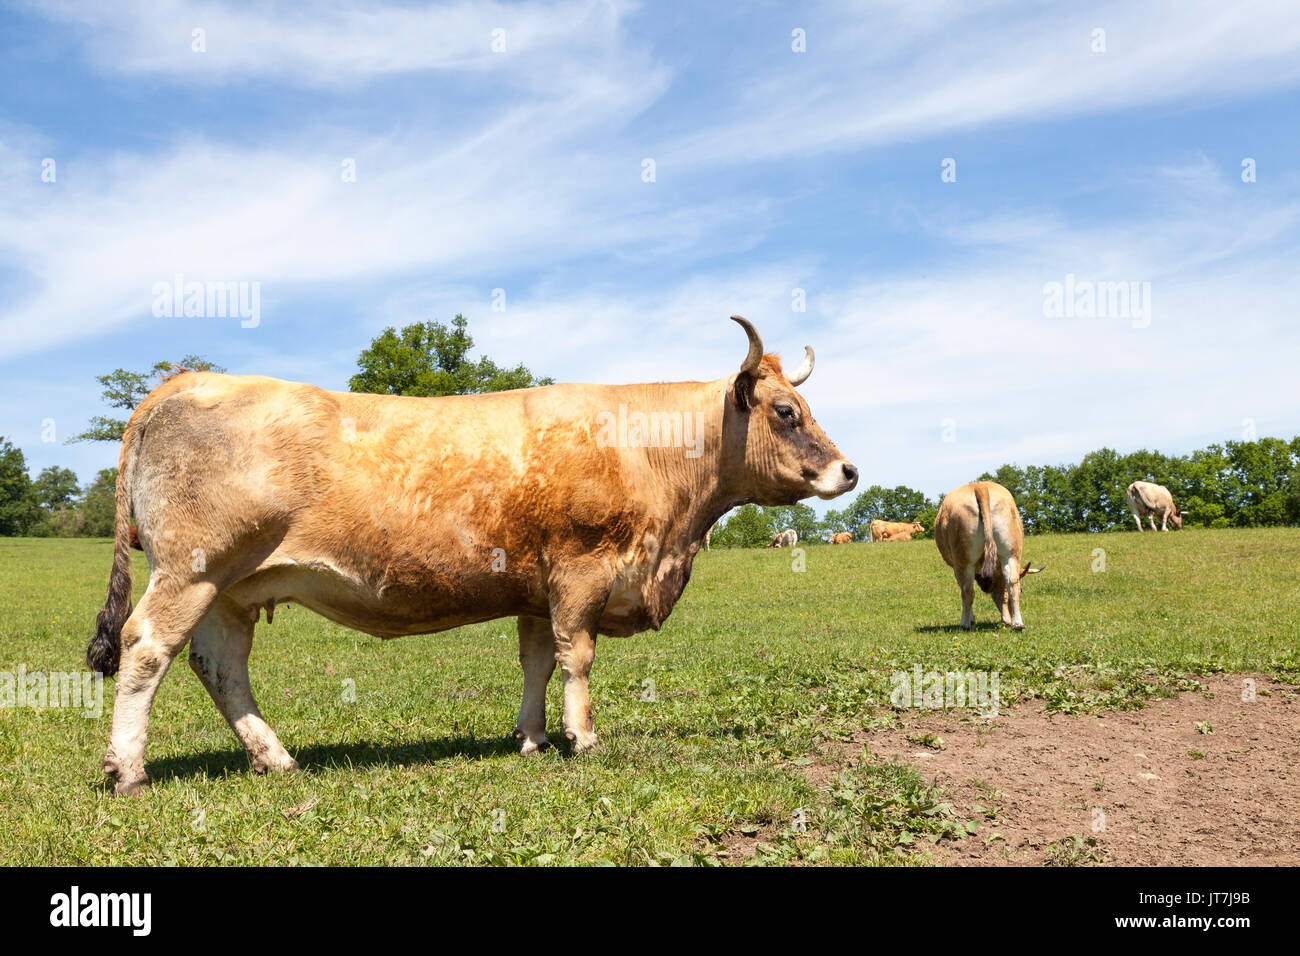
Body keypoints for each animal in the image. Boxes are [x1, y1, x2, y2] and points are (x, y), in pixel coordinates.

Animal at [87, 315, 859, 794]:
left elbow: (537, 661)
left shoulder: (537, 590)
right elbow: (578, 658)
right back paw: (129, 771)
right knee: (146, 649)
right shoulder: (582, 572)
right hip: (191, 571)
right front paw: (583, 738)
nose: (849, 471)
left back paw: (275, 759)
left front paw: (533, 738)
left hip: (234, 588)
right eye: (786, 412)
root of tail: (184, 380)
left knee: (219, 666)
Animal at [934, 481, 1042, 630]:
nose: (1007, 620)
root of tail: (980, 486)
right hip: (1011, 553)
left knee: (967, 590)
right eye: (1022, 590)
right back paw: (1017, 624)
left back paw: (964, 624)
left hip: (964, 559)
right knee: (1012, 582)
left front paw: (971, 619)